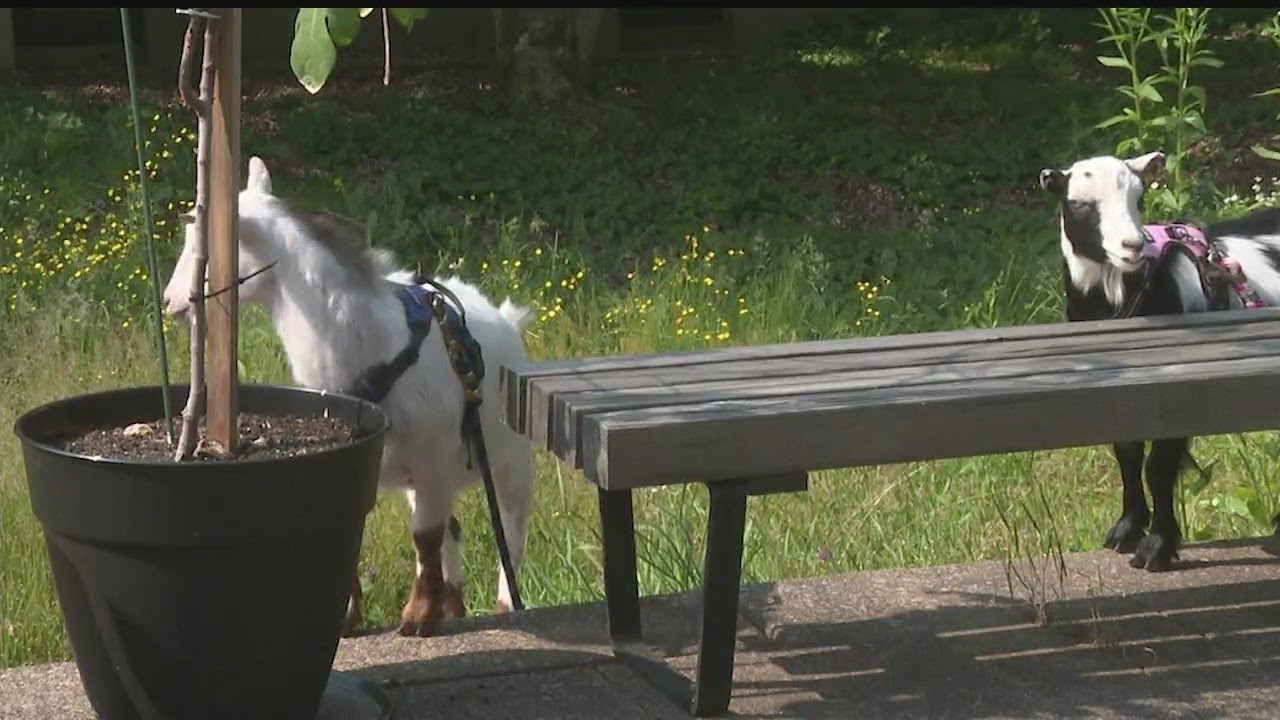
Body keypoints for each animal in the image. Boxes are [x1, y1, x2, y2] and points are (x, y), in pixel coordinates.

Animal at [161, 156, 536, 636]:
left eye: (202, 245)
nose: (170, 301)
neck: (373, 347)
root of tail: (507, 318)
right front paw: (346, 617)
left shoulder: (431, 460)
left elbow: (424, 536)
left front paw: (417, 618)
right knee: (454, 527)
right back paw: (453, 607)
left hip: (511, 458)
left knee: (509, 524)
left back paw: (504, 605)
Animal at [1039, 150, 1280, 571]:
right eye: (1080, 204)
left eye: (1139, 198)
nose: (1132, 245)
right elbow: (1126, 452)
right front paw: (1127, 528)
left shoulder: (1178, 392)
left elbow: (1158, 467)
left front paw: (1157, 547)